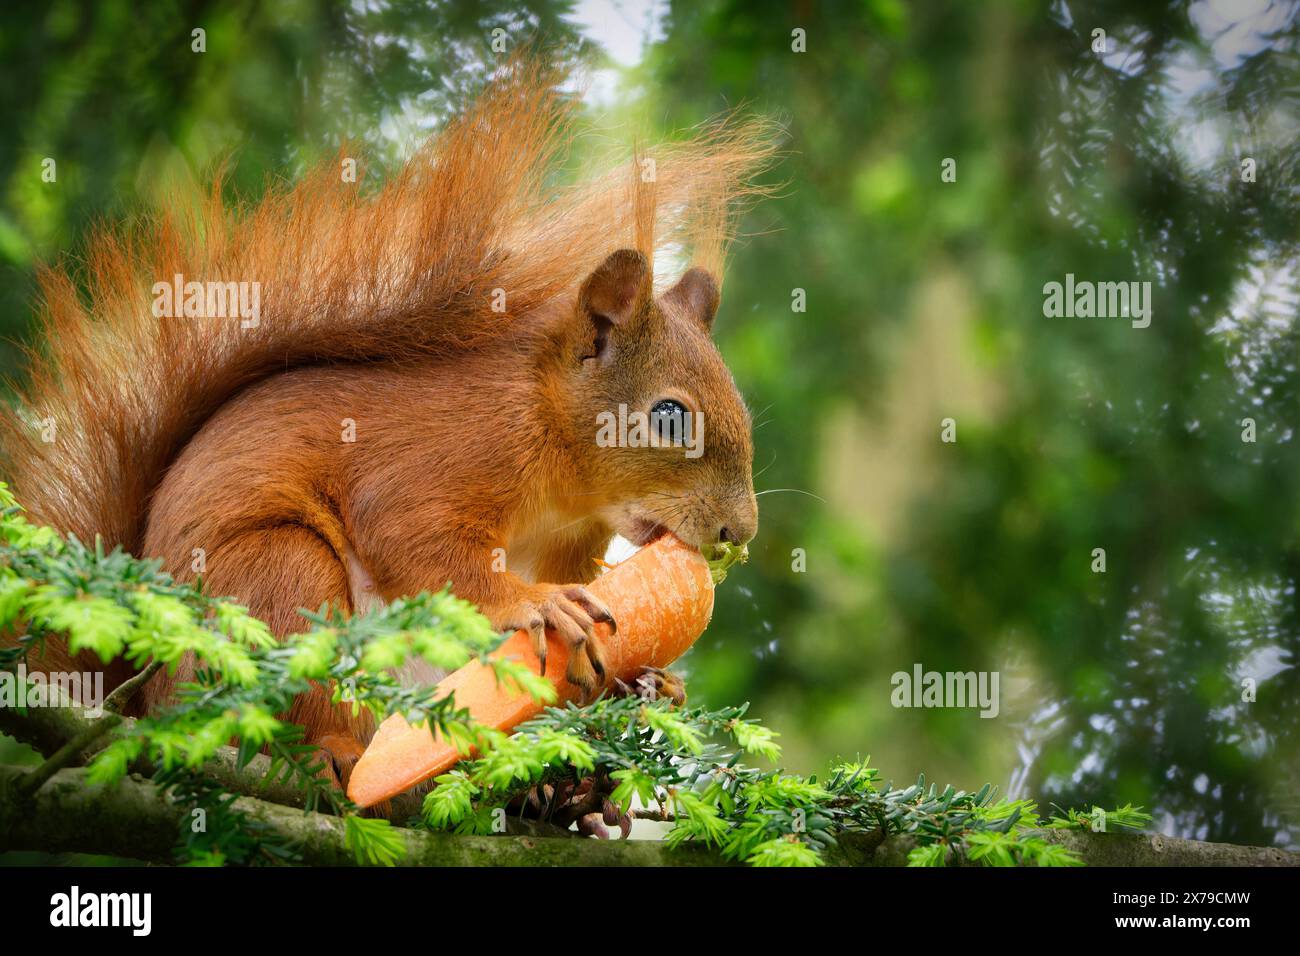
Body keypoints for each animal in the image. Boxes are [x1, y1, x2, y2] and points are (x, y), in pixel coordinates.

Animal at [0, 59, 775, 787]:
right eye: (668, 416)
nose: (739, 534)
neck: (562, 473)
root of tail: (144, 701)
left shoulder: (572, 541)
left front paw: (646, 680)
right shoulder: (446, 455)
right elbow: (418, 541)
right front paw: (538, 605)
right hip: (273, 585)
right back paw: (336, 754)